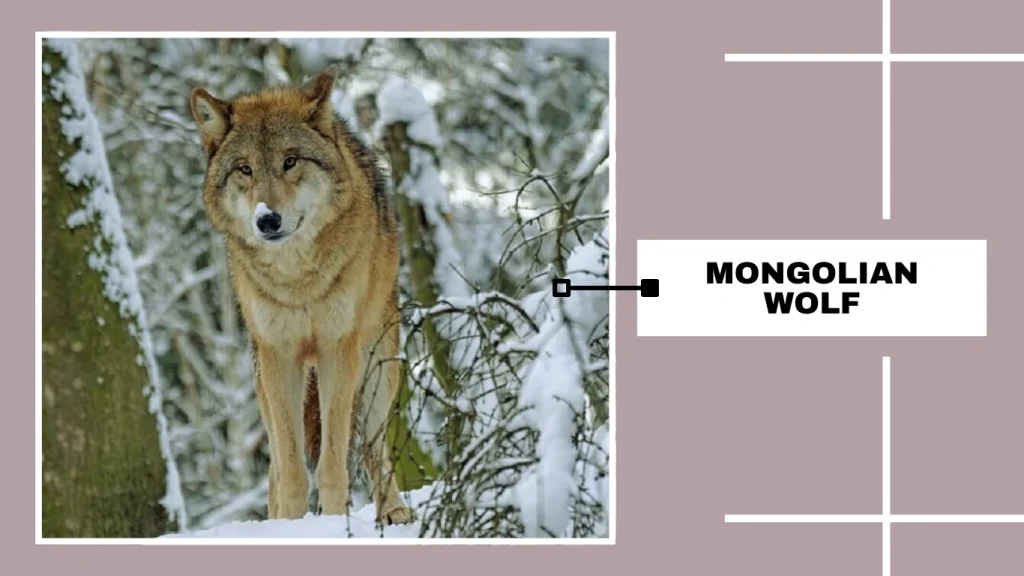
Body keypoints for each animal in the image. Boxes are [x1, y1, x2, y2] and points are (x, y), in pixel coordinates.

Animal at [189, 64, 414, 525]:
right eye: (245, 169)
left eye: (290, 161)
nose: (267, 220)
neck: (298, 280)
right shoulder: (280, 356)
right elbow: (291, 469)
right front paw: (291, 525)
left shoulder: (336, 349)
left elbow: (331, 461)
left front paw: (332, 519)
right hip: (264, 385)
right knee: (275, 468)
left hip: (379, 370)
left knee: (373, 447)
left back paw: (394, 512)